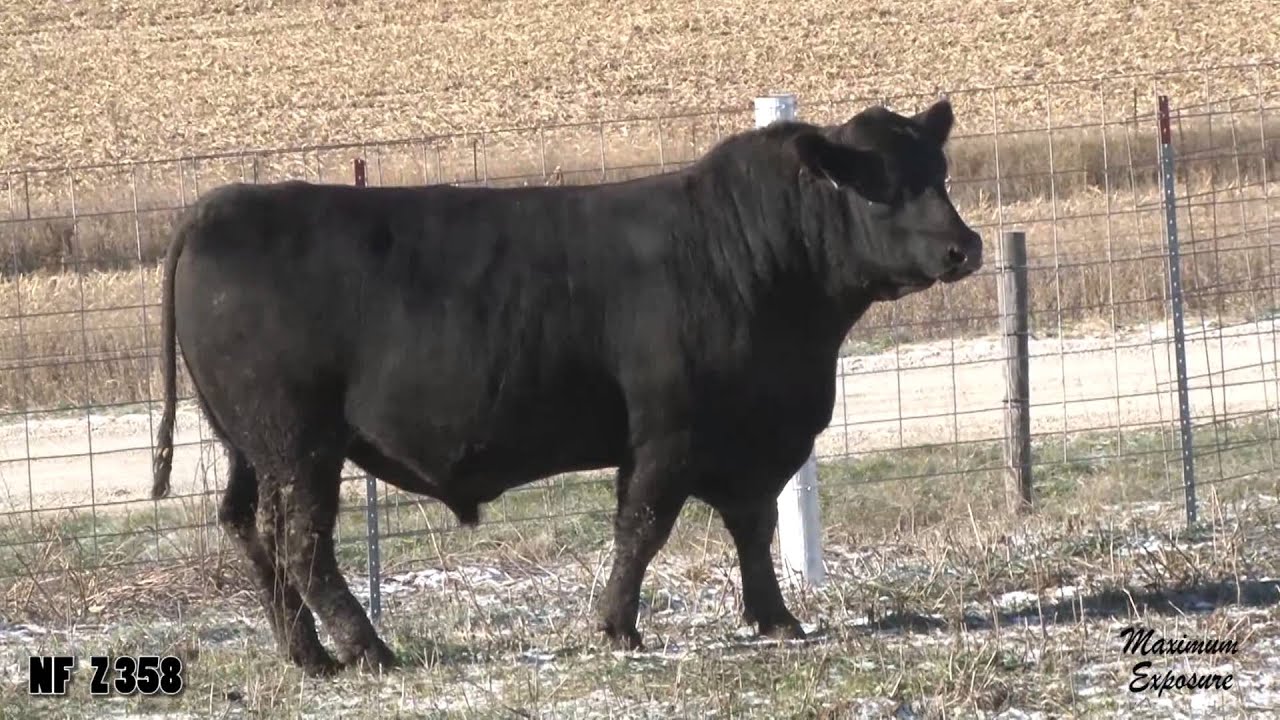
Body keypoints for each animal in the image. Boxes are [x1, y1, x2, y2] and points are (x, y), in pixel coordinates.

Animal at [149, 98, 983, 676]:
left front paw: (775, 618)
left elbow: (753, 527)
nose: (963, 247)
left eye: (937, 175)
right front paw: (617, 626)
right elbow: (642, 527)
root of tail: (223, 203)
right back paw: (367, 649)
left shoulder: (753, 440)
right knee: (303, 542)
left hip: (251, 447)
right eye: (877, 187)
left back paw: (310, 656)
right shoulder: (668, 434)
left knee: (251, 531)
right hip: (299, 444)